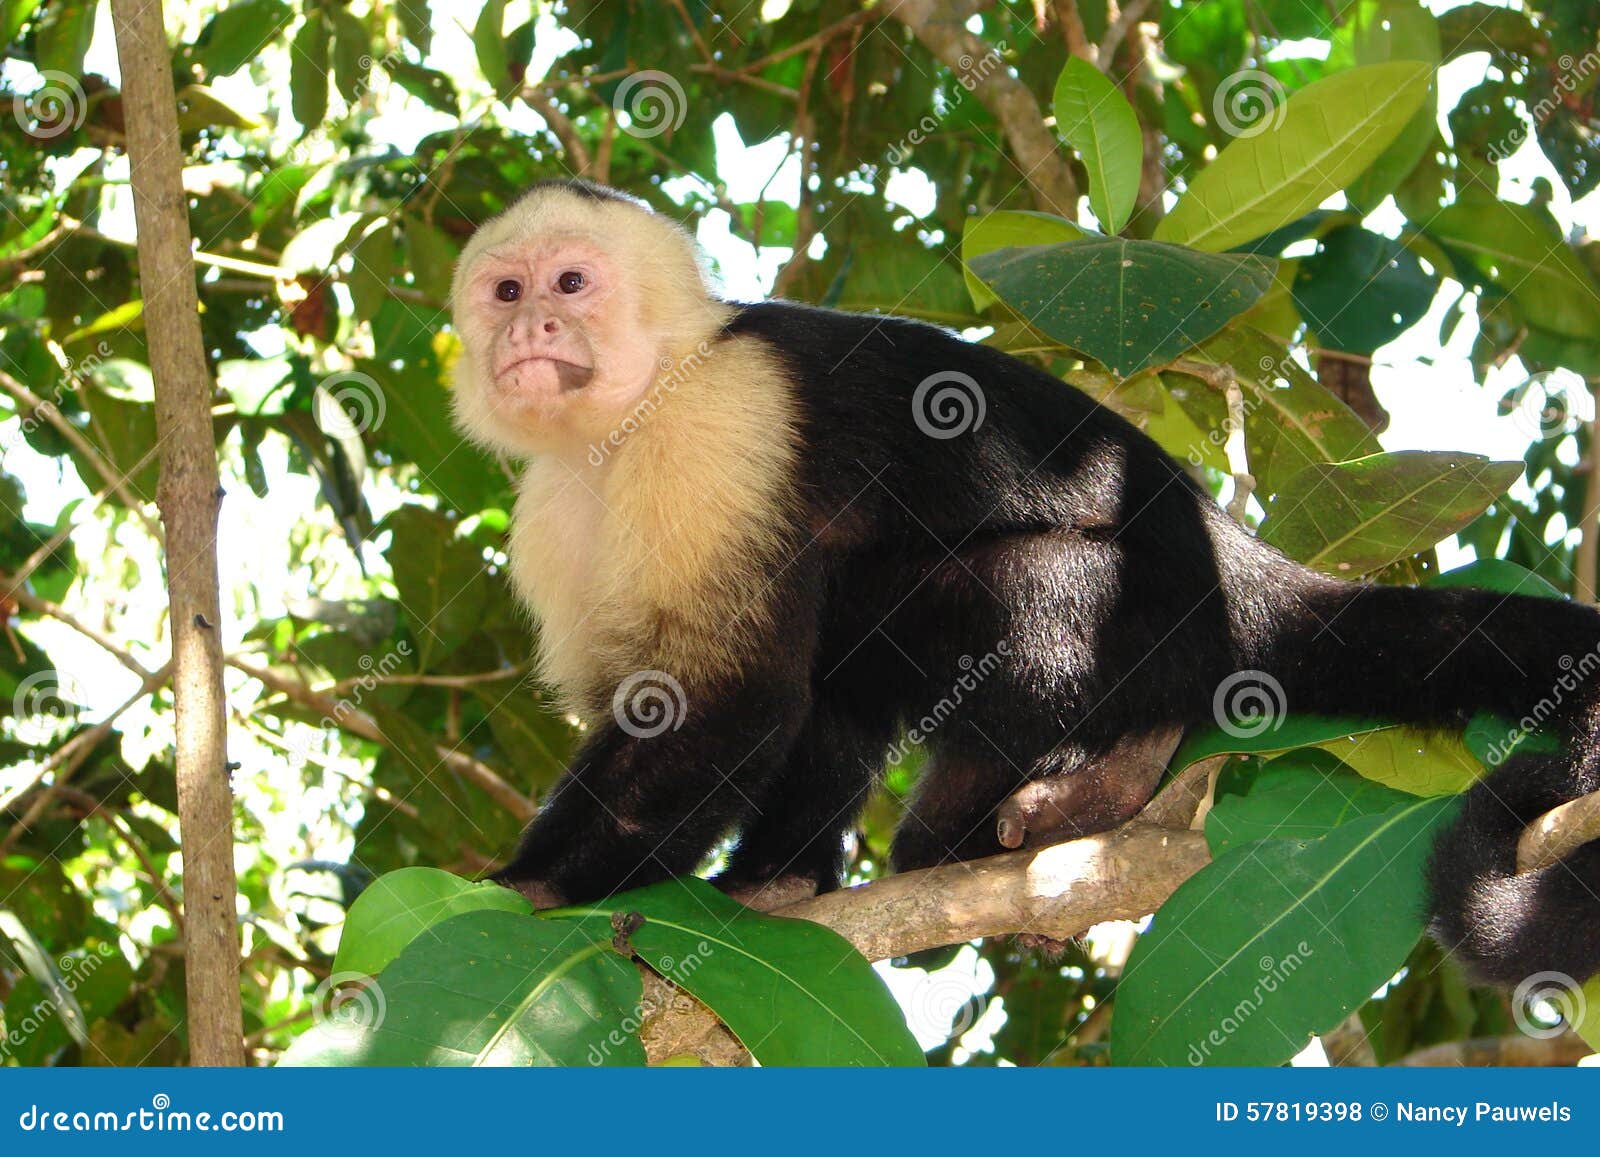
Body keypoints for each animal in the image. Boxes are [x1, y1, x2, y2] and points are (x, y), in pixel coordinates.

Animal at [448, 178, 1600, 987]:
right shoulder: (549, 511)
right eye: (505, 291)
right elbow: (660, 691)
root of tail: (1239, 562)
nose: (529, 330)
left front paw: (527, 886)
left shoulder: (719, 419)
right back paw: (786, 878)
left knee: (990, 596)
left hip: (1150, 615)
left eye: (570, 283)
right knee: (840, 648)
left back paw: (1053, 795)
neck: (627, 421)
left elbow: (727, 697)